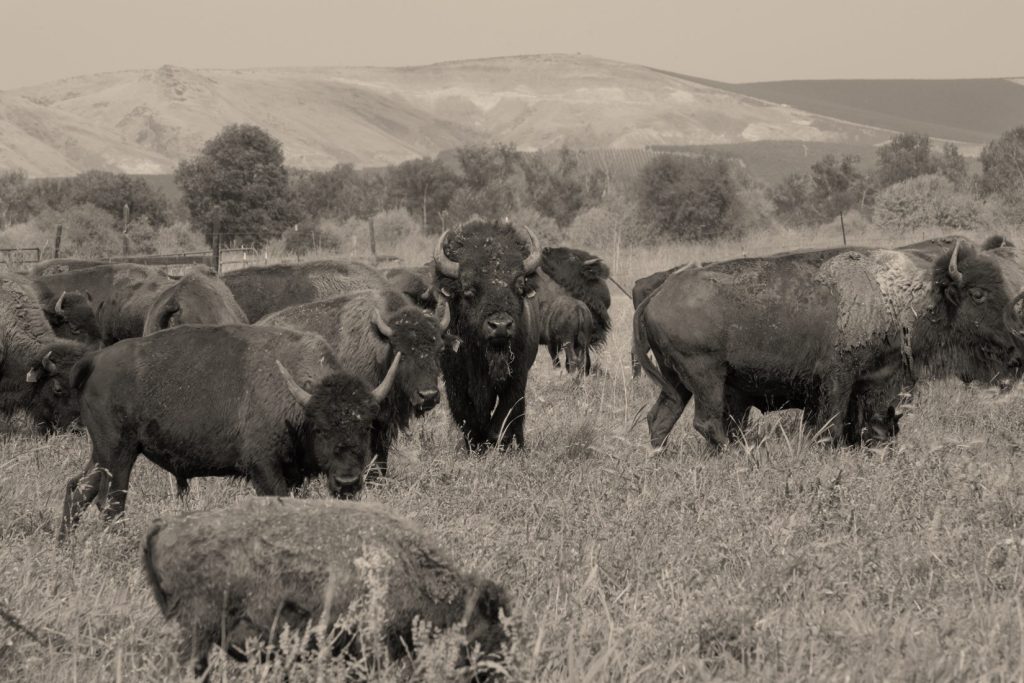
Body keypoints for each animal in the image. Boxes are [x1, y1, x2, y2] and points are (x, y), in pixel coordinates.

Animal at [60, 325, 401, 537]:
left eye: (366, 425)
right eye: (320, 428)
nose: (347, 482)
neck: (296, 402)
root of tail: (95, 360)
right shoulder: (263, 468)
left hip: (103, 452)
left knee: (78, 489)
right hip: (119, 453)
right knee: (110, 502)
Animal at [433, 219, 542, 449]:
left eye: (519, 286)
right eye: (468, 289)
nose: (500, 326)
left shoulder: (516, 378)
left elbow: (503, 417)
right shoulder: (455, 382)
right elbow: (468, 418)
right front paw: (476, 446)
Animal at [634, 242, 1024, 448]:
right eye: (978, 294)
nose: (1015, 349)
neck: (898, 300)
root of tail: (657, 293)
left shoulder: (875, 382)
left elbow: (869, 425)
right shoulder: (838, 378)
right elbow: (832, 425)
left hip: (678, 383)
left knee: (660, 419)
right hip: (706, 376)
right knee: (707, 422)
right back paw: (741, 454)